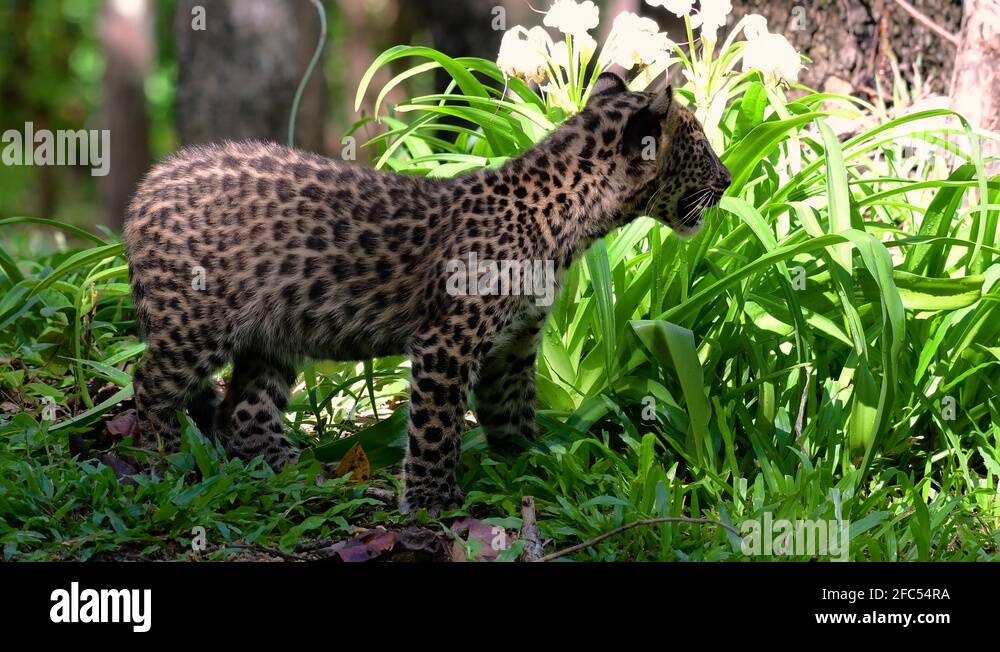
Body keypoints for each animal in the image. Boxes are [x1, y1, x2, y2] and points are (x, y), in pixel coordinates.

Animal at [122, 71, 731, 514]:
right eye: (701, 146)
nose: (727, 180)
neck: (572, 223)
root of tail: (149, 183)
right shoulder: (447, 342)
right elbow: (437, 429)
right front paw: (433, 502)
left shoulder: (514, 347)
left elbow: (513, 414)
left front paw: (533, 468)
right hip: (195, 322)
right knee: (150, 383)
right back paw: (166, 460)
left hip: (273, 332)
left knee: (244, 412)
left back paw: (299, 468)